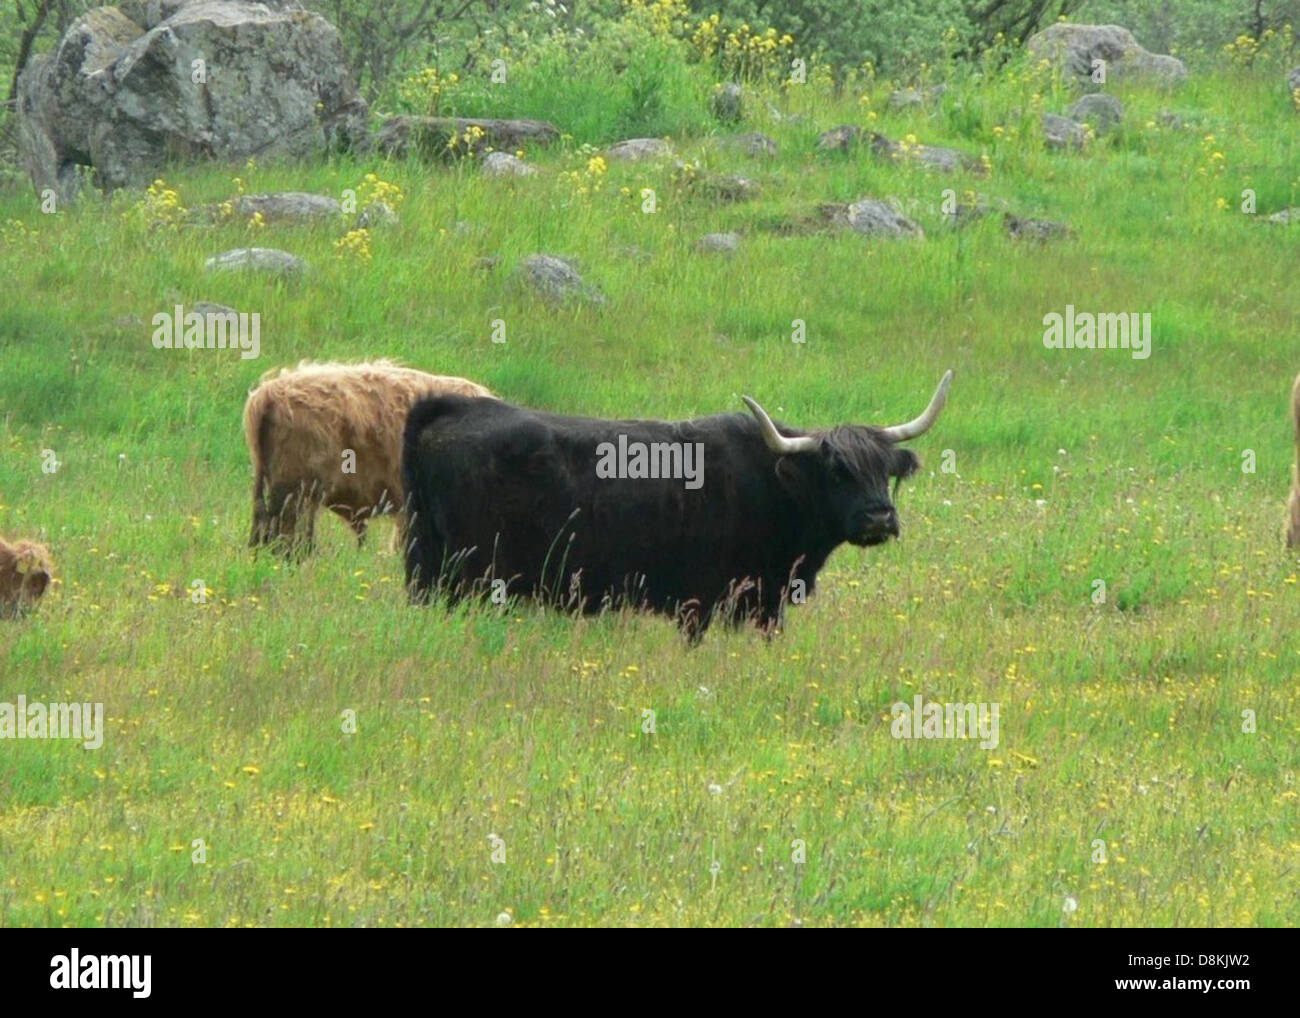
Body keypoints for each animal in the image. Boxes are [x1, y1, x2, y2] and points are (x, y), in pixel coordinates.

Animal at [401, 371, 952, 637]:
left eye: (885, 470)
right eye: (837, 471)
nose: (879, 517)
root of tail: (451, 406)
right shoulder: (702, 602)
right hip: (469, 576)